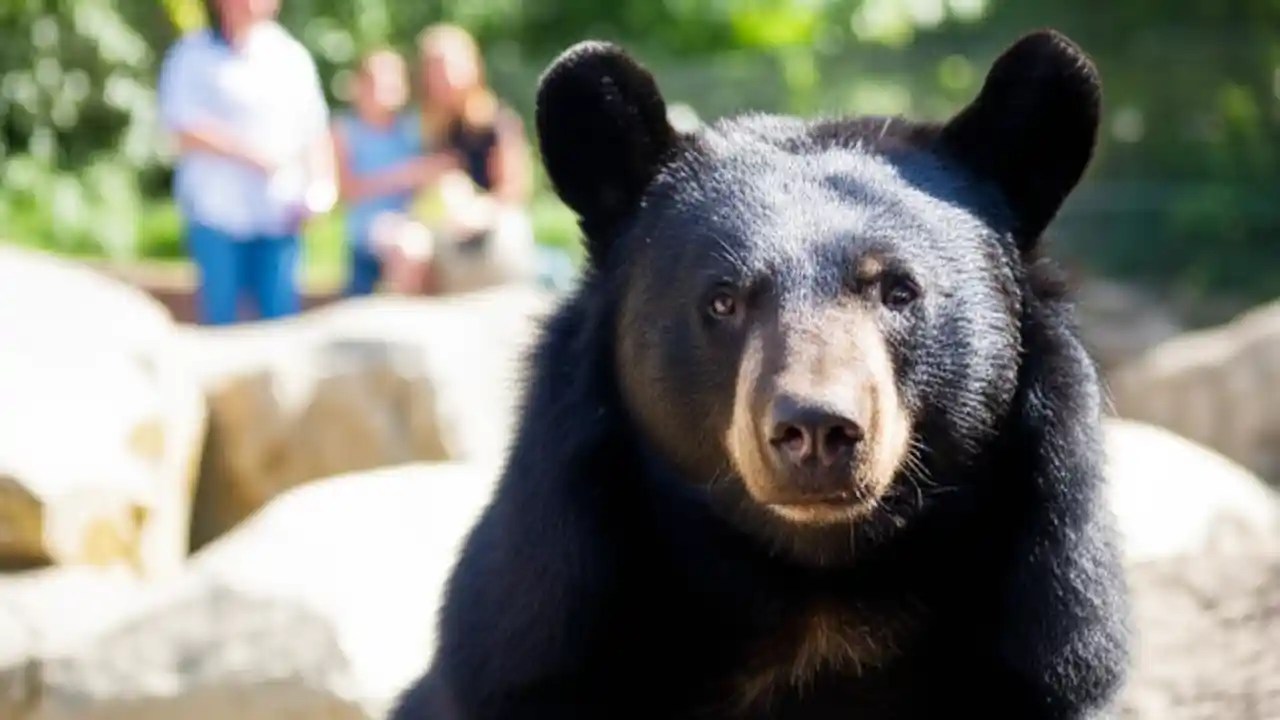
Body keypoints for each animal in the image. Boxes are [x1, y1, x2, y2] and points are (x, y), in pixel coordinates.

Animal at [389, 28, 1131, 720]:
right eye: (722, 300)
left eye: (898, 291)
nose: (817, 429)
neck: (813, 591)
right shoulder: (542, 636)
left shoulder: (1052, 642)